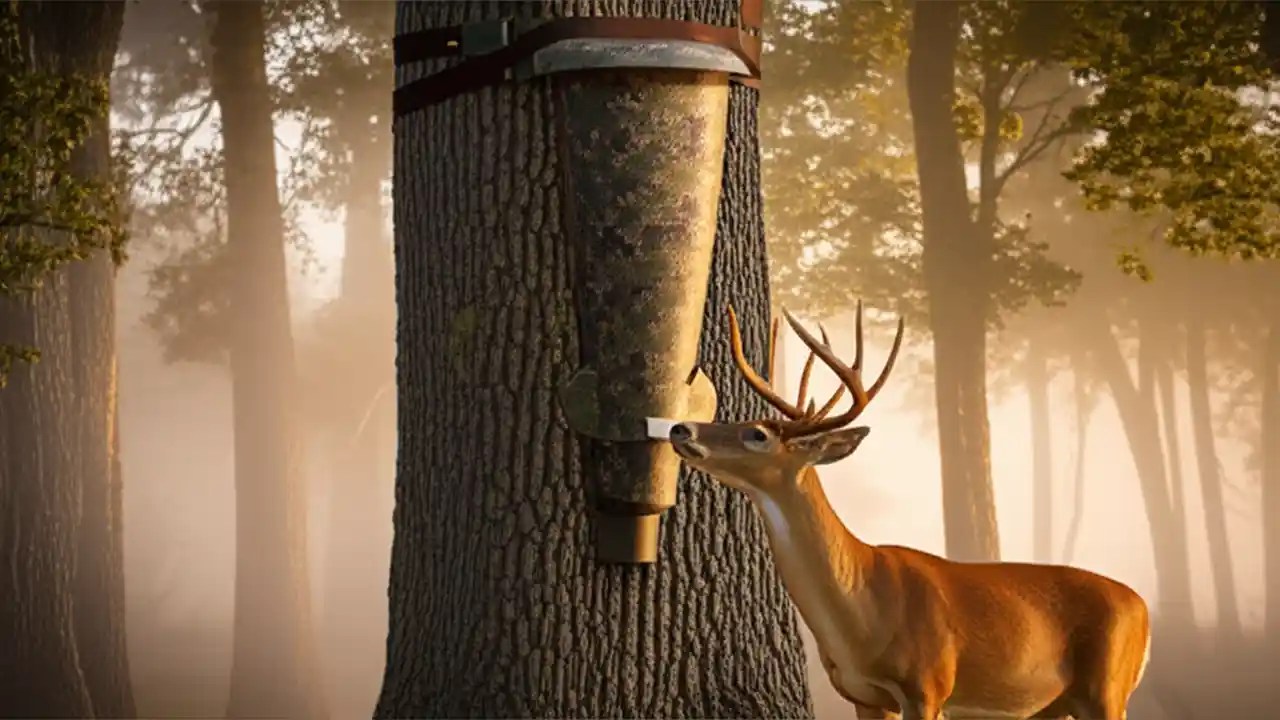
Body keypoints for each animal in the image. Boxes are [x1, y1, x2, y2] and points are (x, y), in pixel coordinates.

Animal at [667, 303, 1152, 720]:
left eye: (757, 434)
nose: (680, 428)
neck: (861, 608)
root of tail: (1143, 606)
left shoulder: (927, 684)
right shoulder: (862, 695)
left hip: (1108, 688)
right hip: (1054, 705)